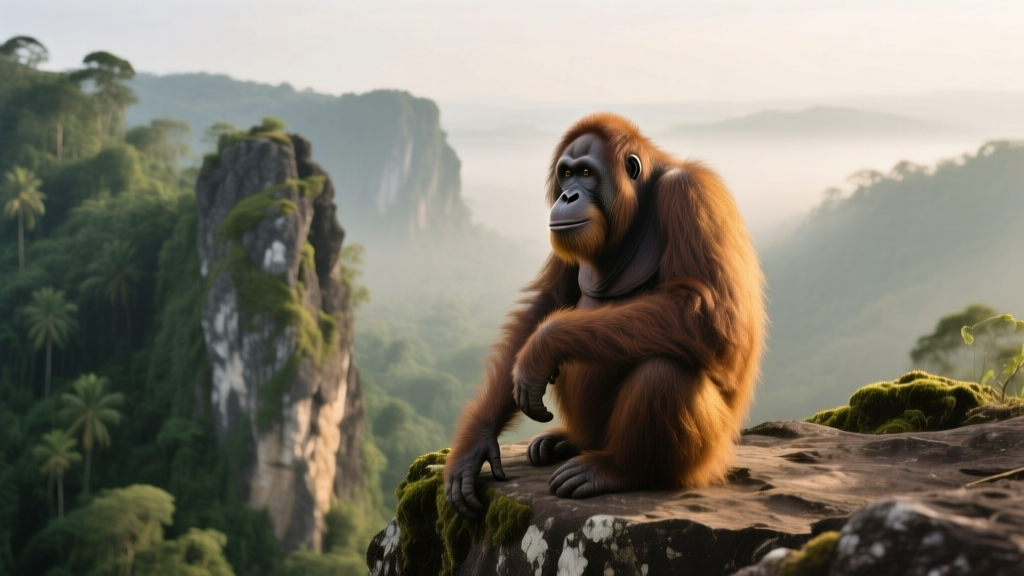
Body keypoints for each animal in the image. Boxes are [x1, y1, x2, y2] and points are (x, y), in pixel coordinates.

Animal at [444, 113, 765, 519]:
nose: (568, 196)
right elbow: (547, 301)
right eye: (566, 174)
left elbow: (715, 319)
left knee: (665, 369)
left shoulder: (690, 194)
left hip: (705, 458)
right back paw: (565, 442)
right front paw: (476, 444)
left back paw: (619, 470)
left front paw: (541, 346)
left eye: (586, 172)